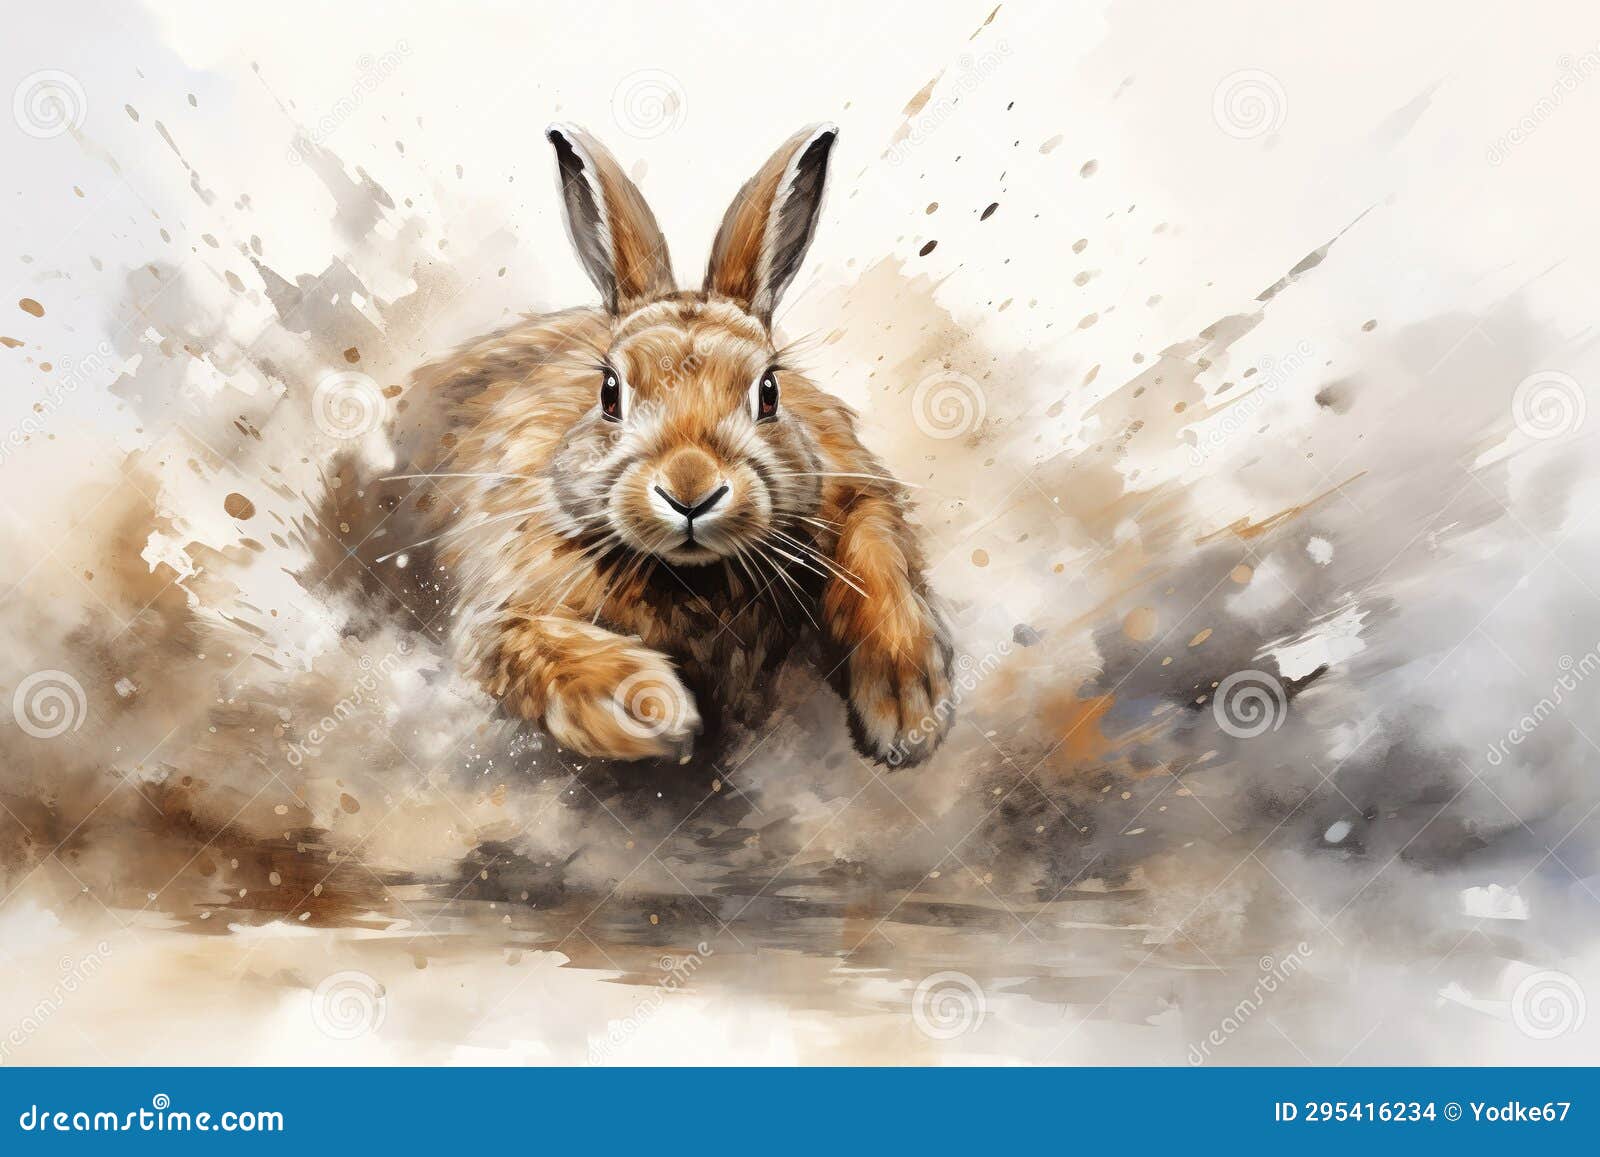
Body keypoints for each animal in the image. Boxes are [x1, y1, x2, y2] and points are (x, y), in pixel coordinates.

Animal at [402, 122, 954, 767]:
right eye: (609, 391)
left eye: (769, 391)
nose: (690, 492)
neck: (692, 578)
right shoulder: (498, 611)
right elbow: (524, 644)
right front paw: (649, 704)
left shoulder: (855, 489)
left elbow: (876, 558)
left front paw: (907, 704)